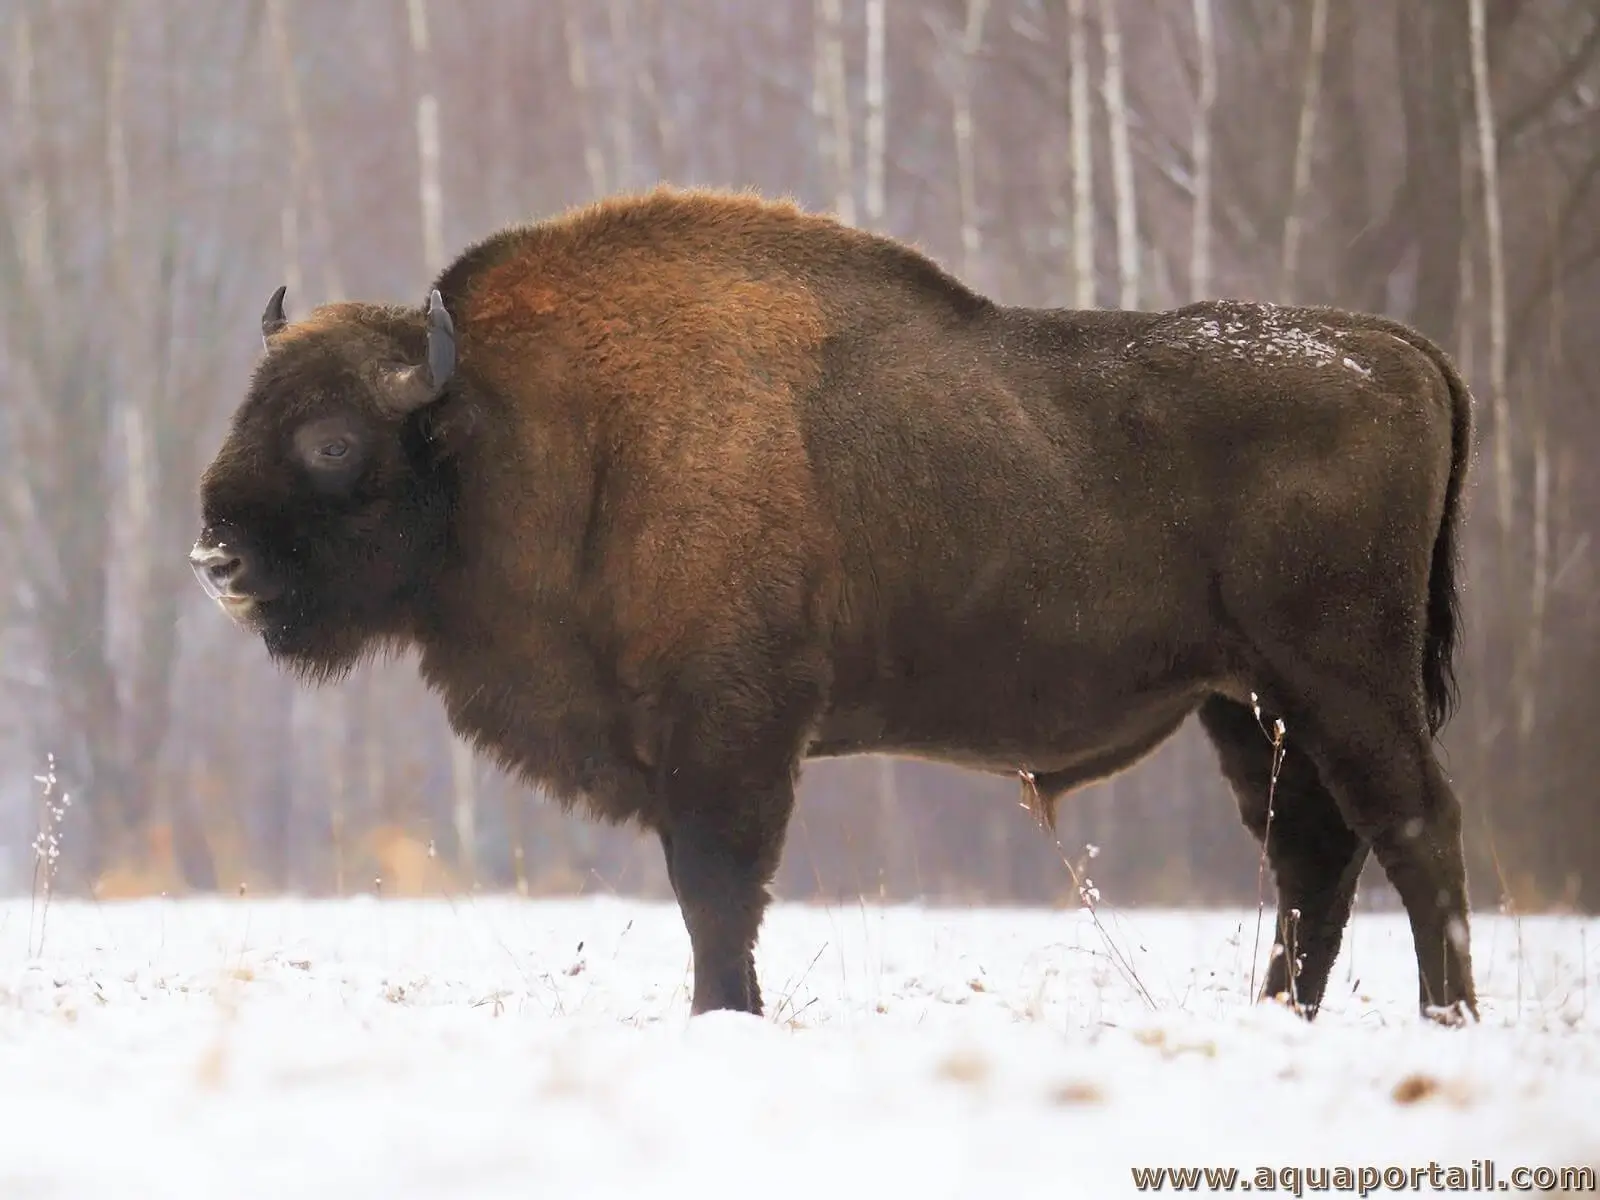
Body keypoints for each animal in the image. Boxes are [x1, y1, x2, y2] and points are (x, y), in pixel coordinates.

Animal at [191, 185, 1477, 1023]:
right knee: (1312, 851)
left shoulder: (733, 723)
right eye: (250, 408)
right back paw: (1282, 1018)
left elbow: (716, 887)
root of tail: (1396, 349)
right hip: (1248, 699)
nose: (214, 555)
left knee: (1412, 826)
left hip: (1343, 678)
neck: (525, 425)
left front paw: (725, 1016)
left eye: (332, 438)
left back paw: (1444, 1016)